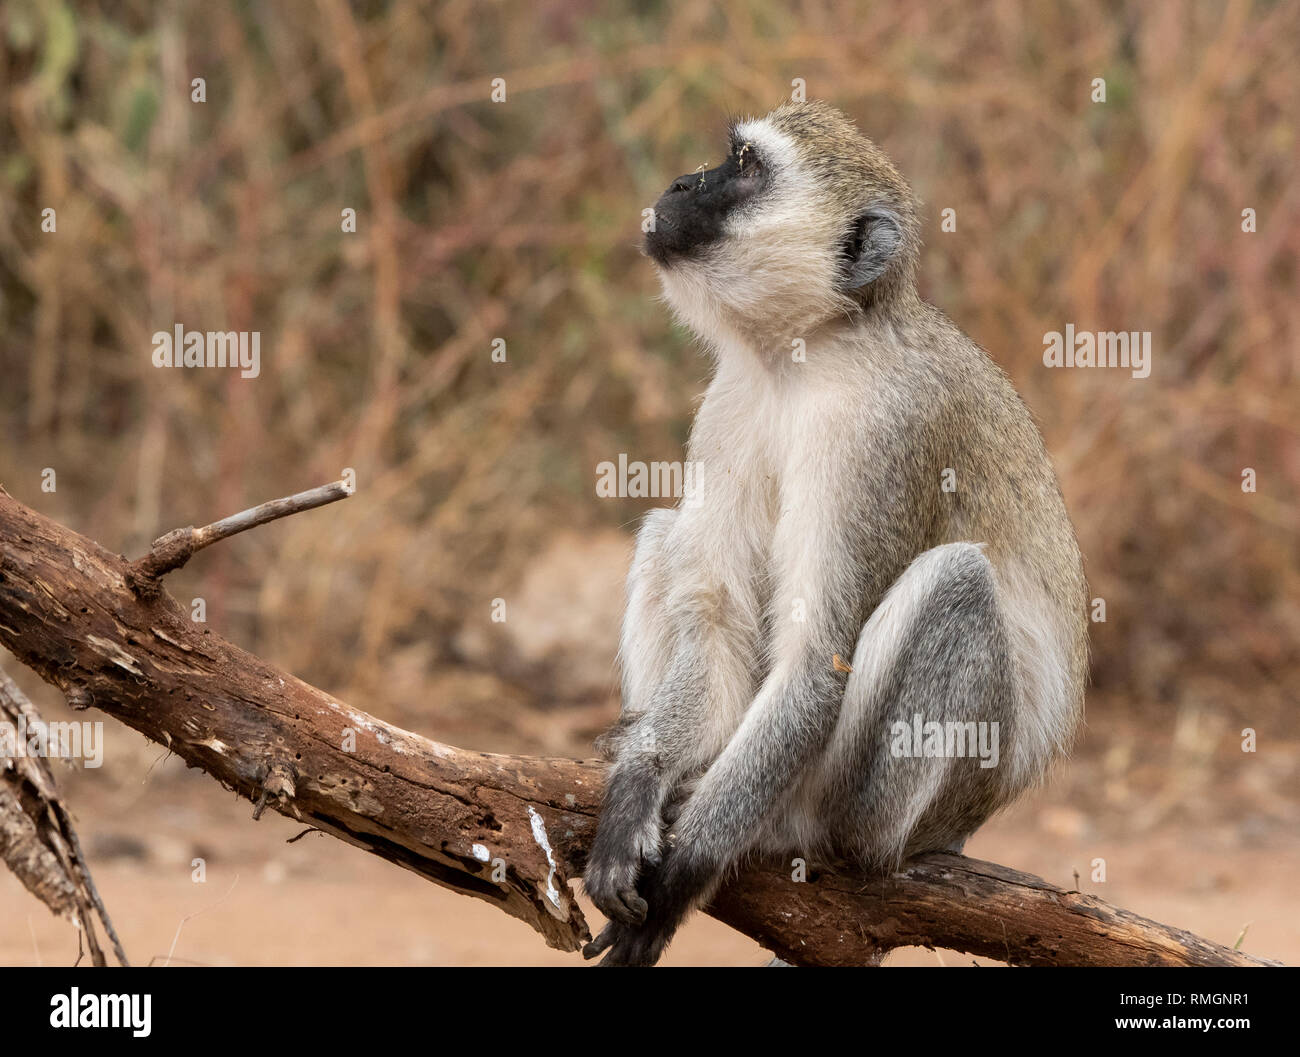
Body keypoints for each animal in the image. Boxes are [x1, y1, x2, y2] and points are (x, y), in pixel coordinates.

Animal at [582, 101, 1088, 966]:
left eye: (746, 167)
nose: (680, 182)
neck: (807, 353)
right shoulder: (730, 400)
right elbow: (717, 621)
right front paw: (636, 794)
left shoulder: (884, 435)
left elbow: (817, 661)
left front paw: (684, 870)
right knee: (665, 533)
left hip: (876, 806)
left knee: (957, 580)